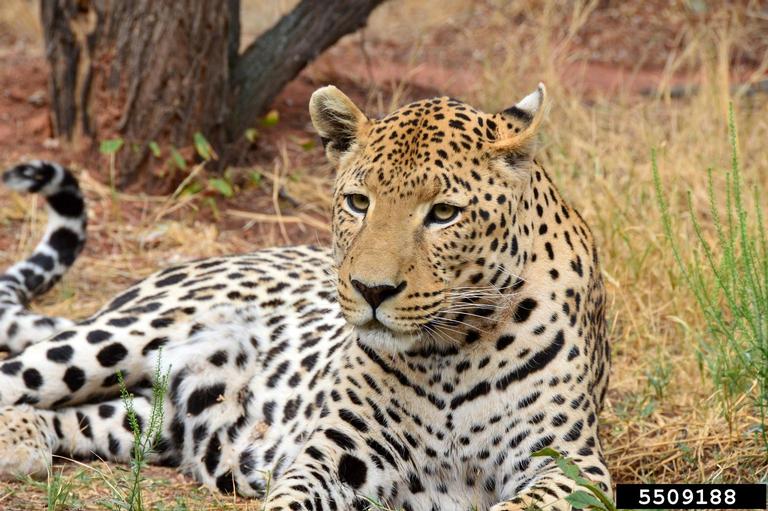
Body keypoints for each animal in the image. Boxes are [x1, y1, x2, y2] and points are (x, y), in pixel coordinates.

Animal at [0, 84, 611, 511]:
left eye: (443, 213)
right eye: (359, 202)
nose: (372, 290)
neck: (449, 356)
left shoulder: (572, 466)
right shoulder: (337, 455)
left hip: (157, 416)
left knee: (86, 414)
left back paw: (23, 443)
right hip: (125, 336)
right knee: (22, 377)